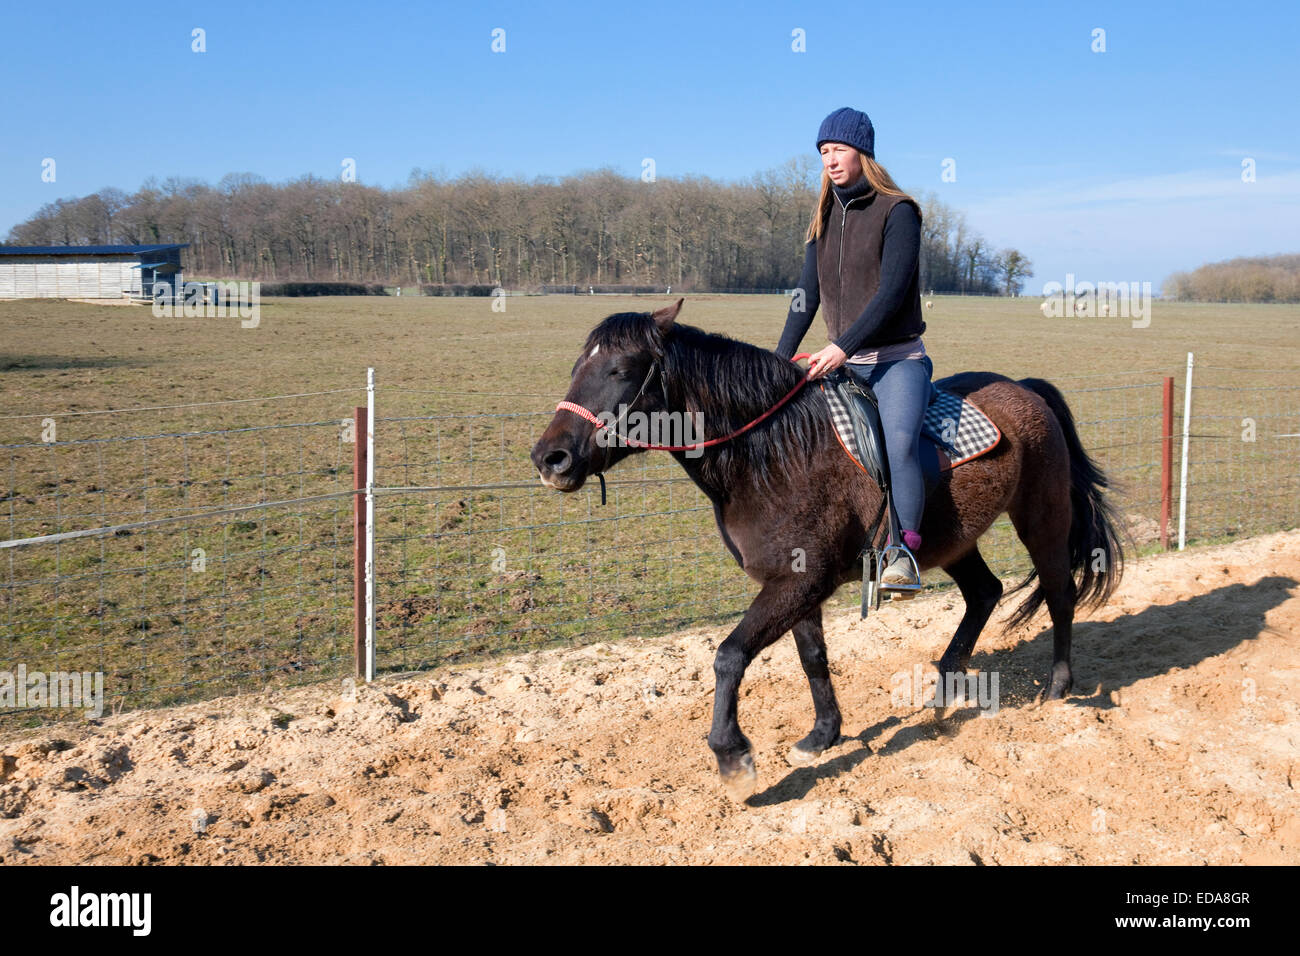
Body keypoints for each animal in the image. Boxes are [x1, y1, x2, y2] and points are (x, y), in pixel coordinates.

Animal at [530, 299, 1124, 800]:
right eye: (578, 367)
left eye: (622, 371)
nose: (549, 458)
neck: (776, 454)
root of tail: (1025, 389)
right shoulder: (793, 583)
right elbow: (812, 657)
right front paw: (823, 734)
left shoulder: (800, 581)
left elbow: (728, 656)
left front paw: (733, 759)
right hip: (954, 539)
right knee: (985, 592)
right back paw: (945, 687)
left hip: (1042, 519)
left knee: (1059, 593)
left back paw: (1058, 687)